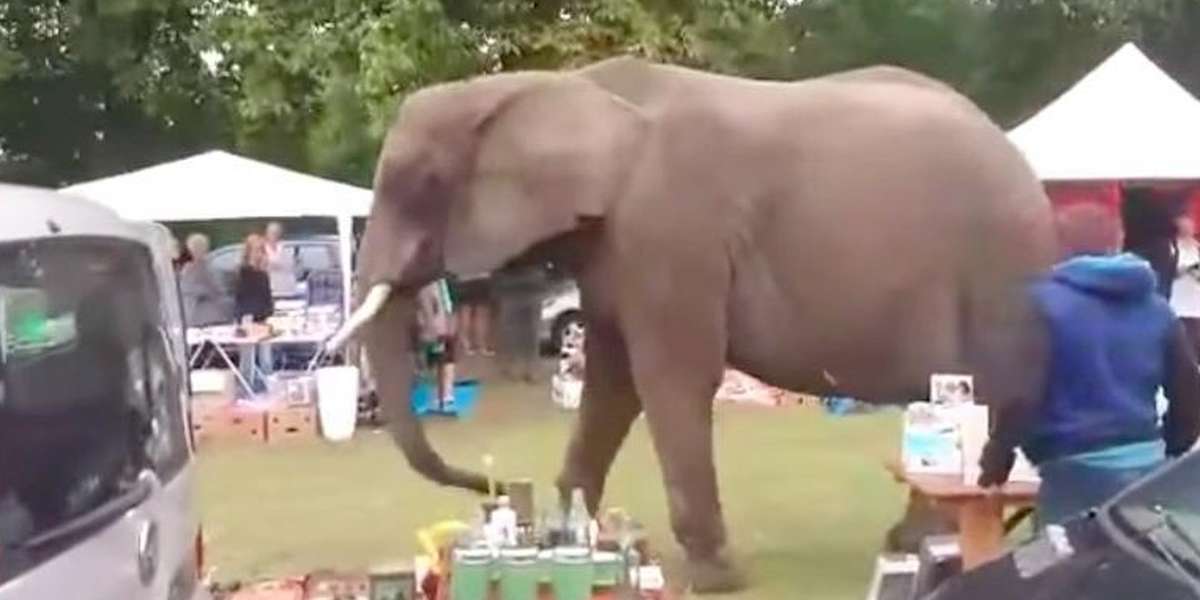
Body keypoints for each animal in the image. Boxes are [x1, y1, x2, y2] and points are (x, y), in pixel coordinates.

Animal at [326, 57, 1056, 592]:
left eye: (418, 183)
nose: (498, 486)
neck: (546, 86)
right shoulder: (616, 247)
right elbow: (611, 381)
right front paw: (570, 540)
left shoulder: (669, 231)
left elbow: (670, 377)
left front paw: (717, 578)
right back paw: (922, 543)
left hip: (998, 265)